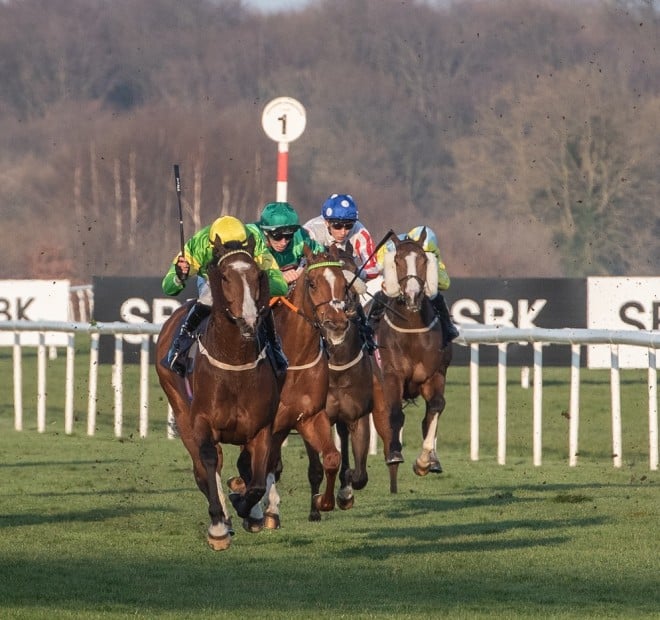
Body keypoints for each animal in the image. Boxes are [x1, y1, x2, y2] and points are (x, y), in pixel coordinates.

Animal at [155, 234, 279, 550]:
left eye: (257, 275)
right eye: (224, 276)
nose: (249, 320)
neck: (234, 363)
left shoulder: (261, 427)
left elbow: (256, 480)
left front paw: (248, 509)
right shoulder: (201, 422)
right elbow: (209, 462)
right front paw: (218, 526)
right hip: (181, 411)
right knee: (204, 468)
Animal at [368, 228, 453, 493]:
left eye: (424, 260)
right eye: (397, 261)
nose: (414, 296)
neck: (412, 331)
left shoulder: (435, 375)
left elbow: (435, 408)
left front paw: (427, 460)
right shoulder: (392, 376)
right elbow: (395, 414)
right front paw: (395, 454)